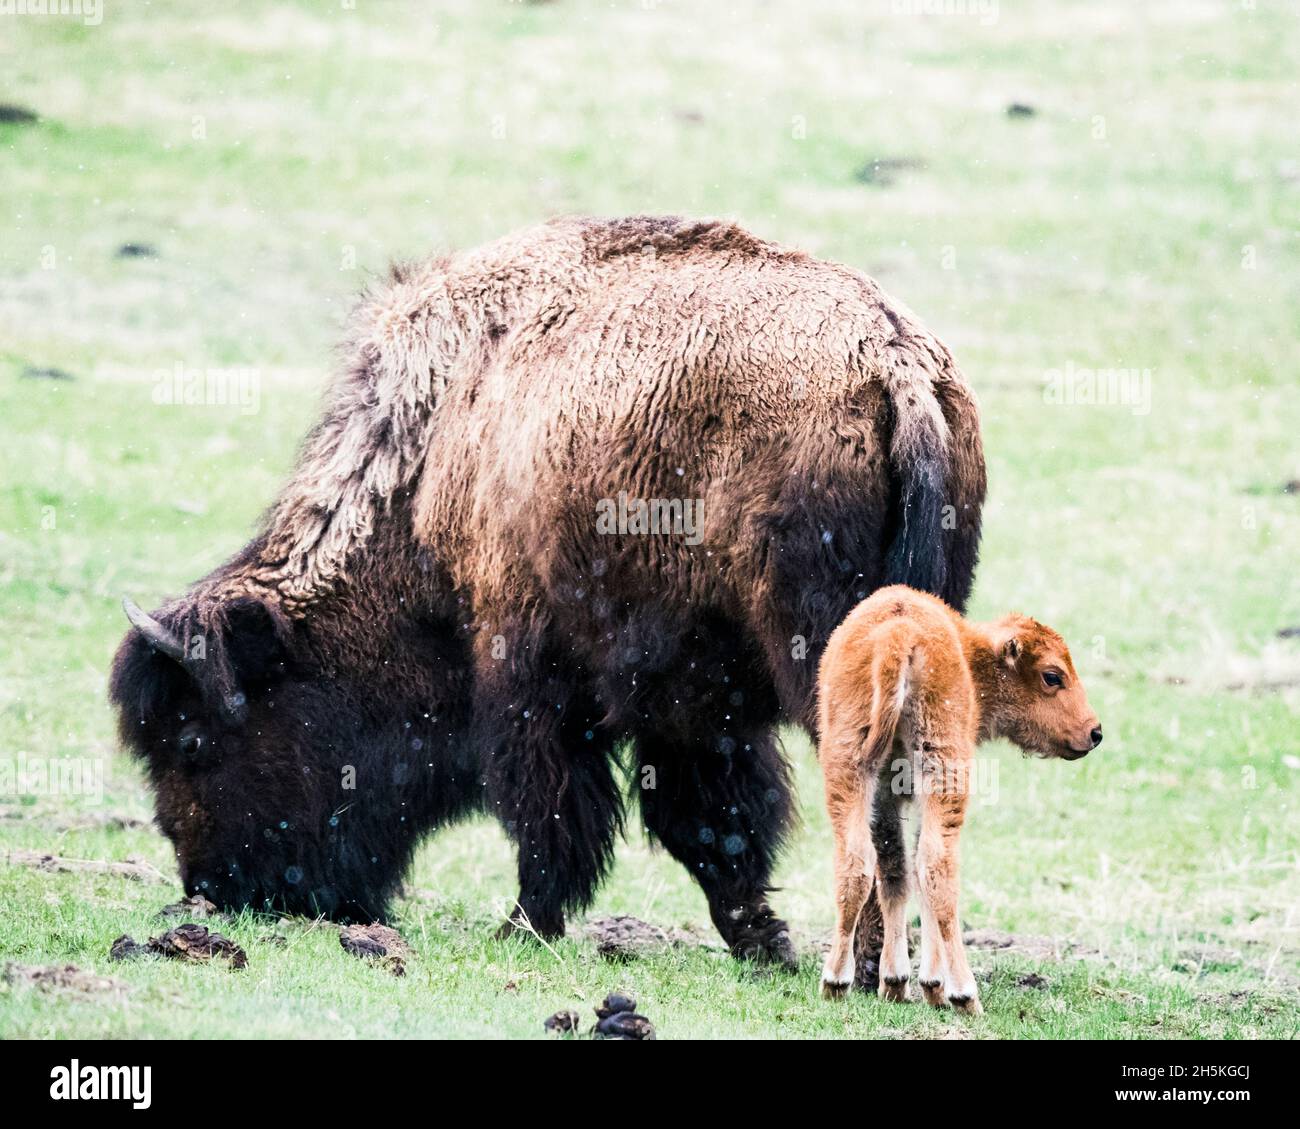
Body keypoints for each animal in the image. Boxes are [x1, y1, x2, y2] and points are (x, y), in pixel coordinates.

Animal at [110, 215, 985, 970]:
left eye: (193, 741)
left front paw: (524, 924)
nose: (213, 885)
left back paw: (867, 962)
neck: (433, 458)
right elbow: (715, 823)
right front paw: (761, 942)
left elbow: (556, 808)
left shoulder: (531, 671)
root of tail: (894, 367)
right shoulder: (694, 704)